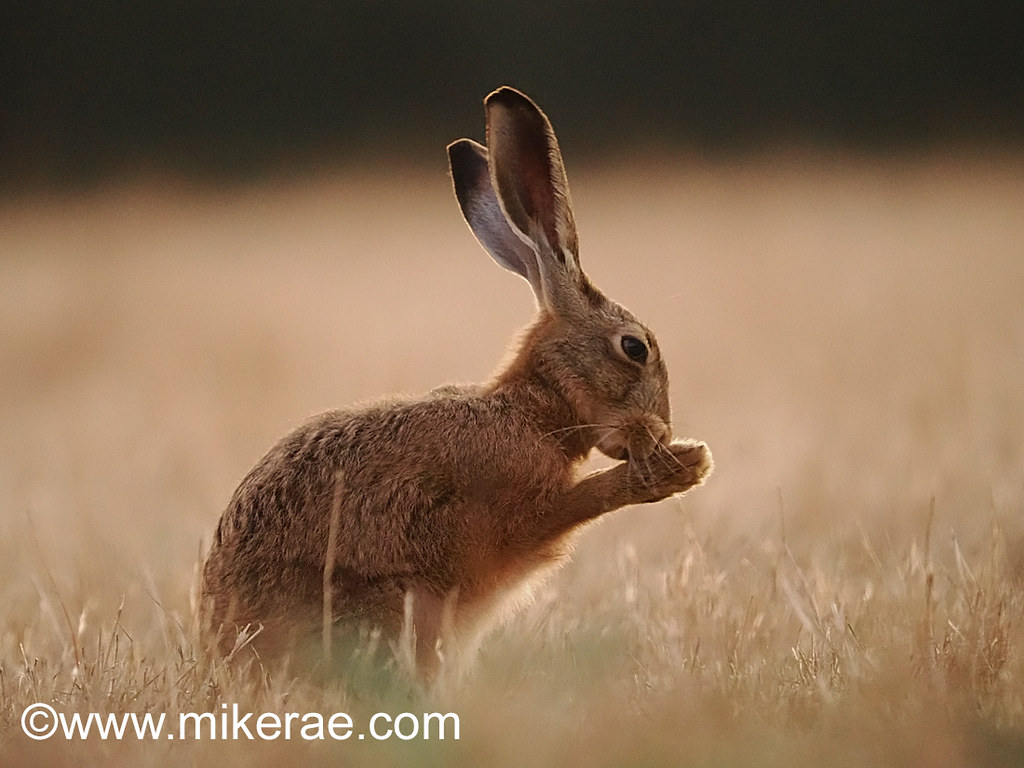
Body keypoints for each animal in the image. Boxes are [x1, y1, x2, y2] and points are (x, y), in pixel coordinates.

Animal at [200, 86, 713, 676]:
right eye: (634, 348)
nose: (661, 430)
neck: (533, 409)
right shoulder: (519, 516)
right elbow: (581, 503)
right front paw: (683, 466)